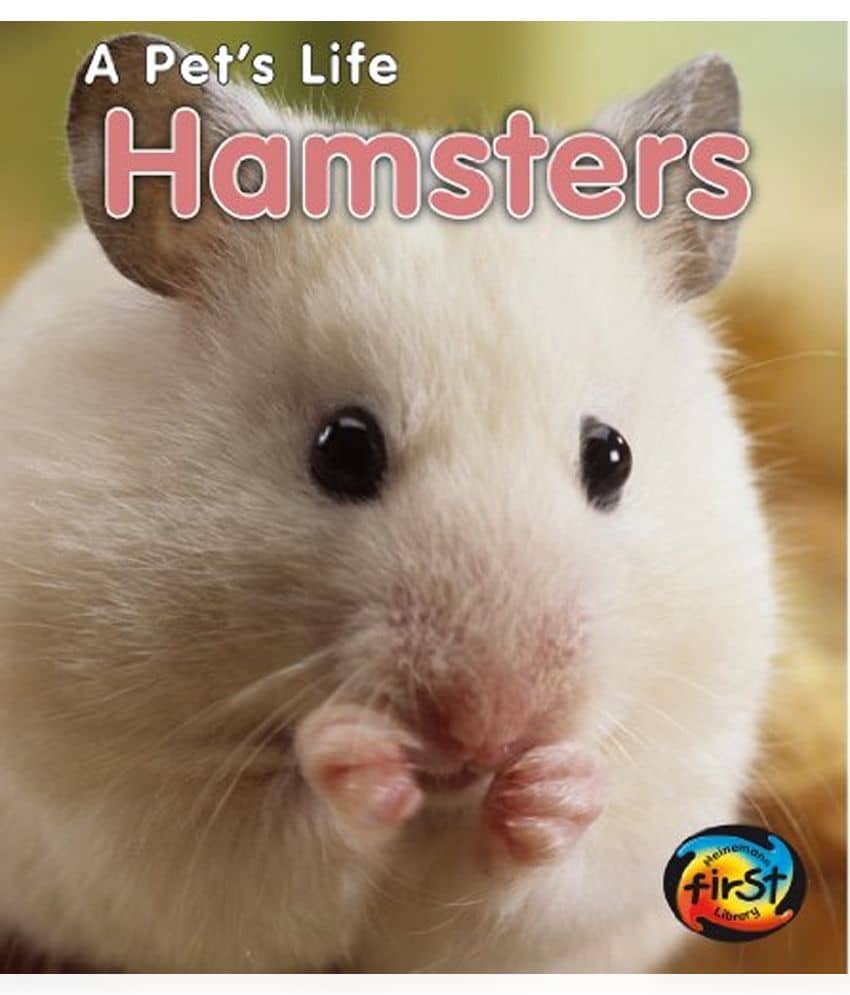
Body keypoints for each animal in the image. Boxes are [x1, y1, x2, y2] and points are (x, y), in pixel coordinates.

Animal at [0, 35, 775, 972]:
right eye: (341, 449)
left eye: (612, 457)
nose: (491, 733)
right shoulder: (137, 818)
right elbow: (274, 849)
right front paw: (353, 754)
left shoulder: (662, 782)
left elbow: (550, 874)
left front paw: (556, 786)